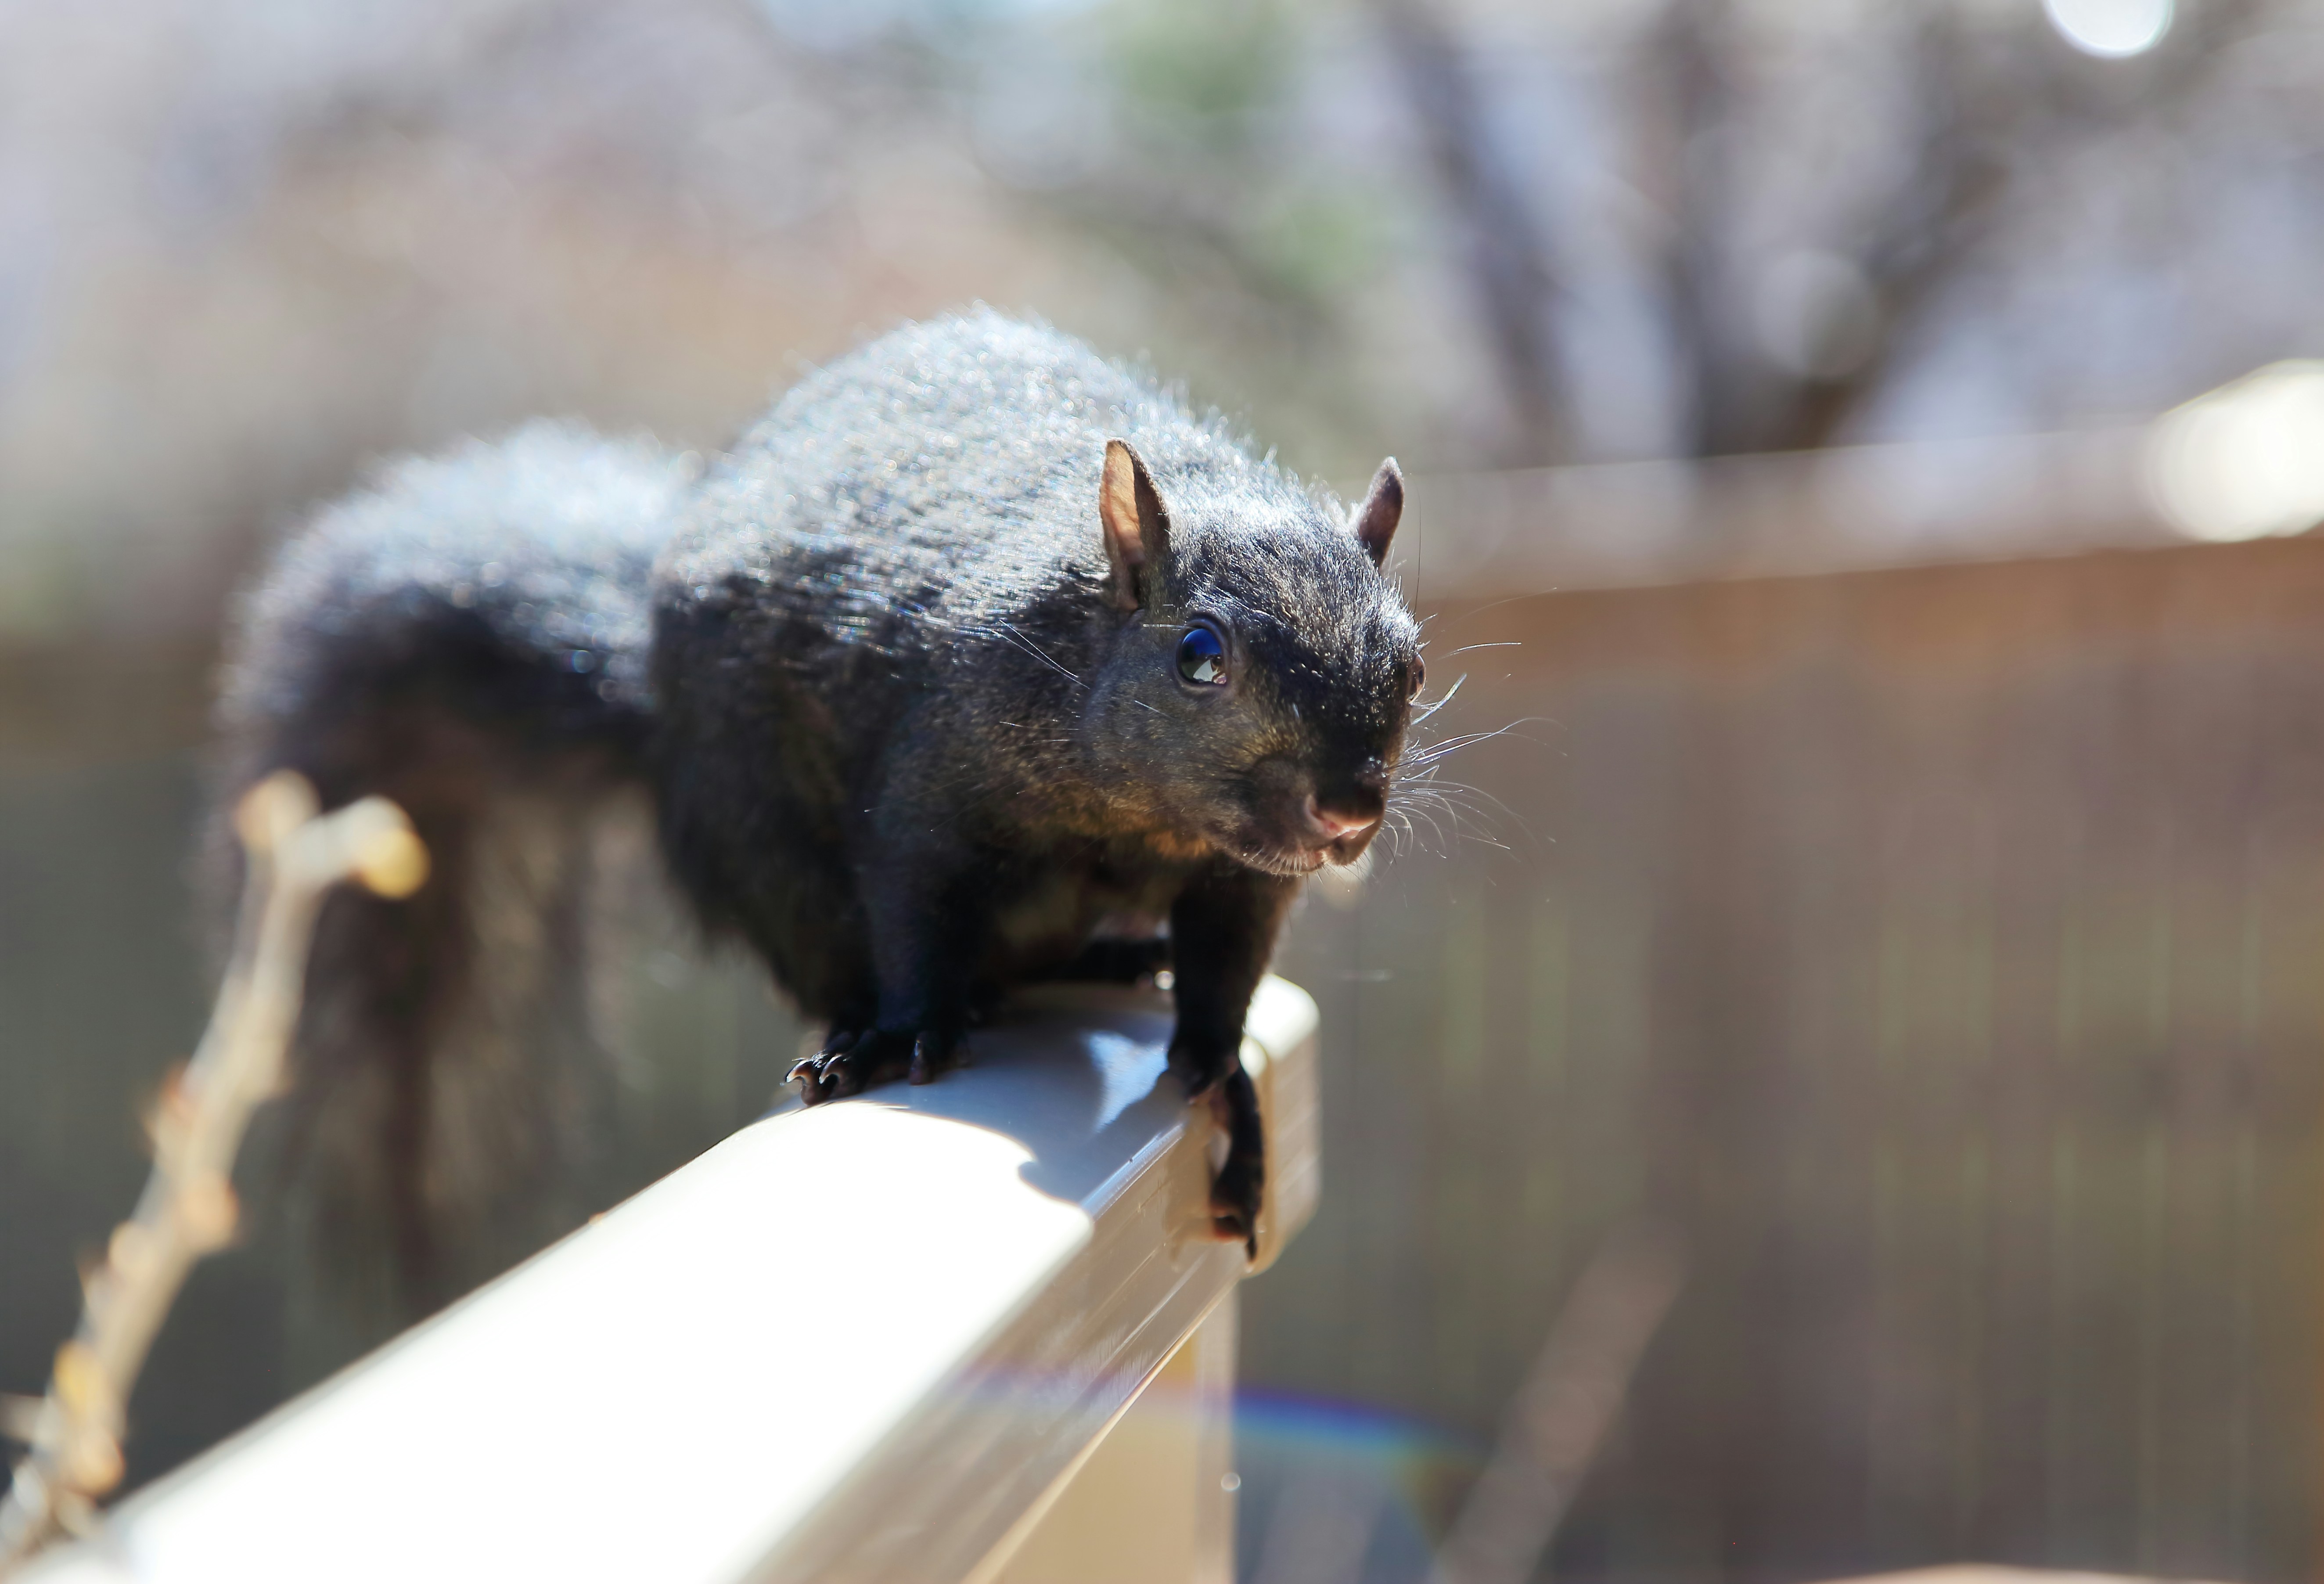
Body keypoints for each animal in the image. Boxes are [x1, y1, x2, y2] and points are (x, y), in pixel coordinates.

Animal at [214, 309, 1419, 1324]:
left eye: (1408, 663)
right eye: (1199, 655)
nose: (1345, 809)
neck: (1142, 814)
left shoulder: (1242, 873)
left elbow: (1227, 965)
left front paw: (1221, 1073)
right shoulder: (937, 772)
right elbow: (917, 901)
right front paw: (909, 1029)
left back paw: (1116, 956)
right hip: (763, 853)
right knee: (851, 959)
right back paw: (874, 1027)